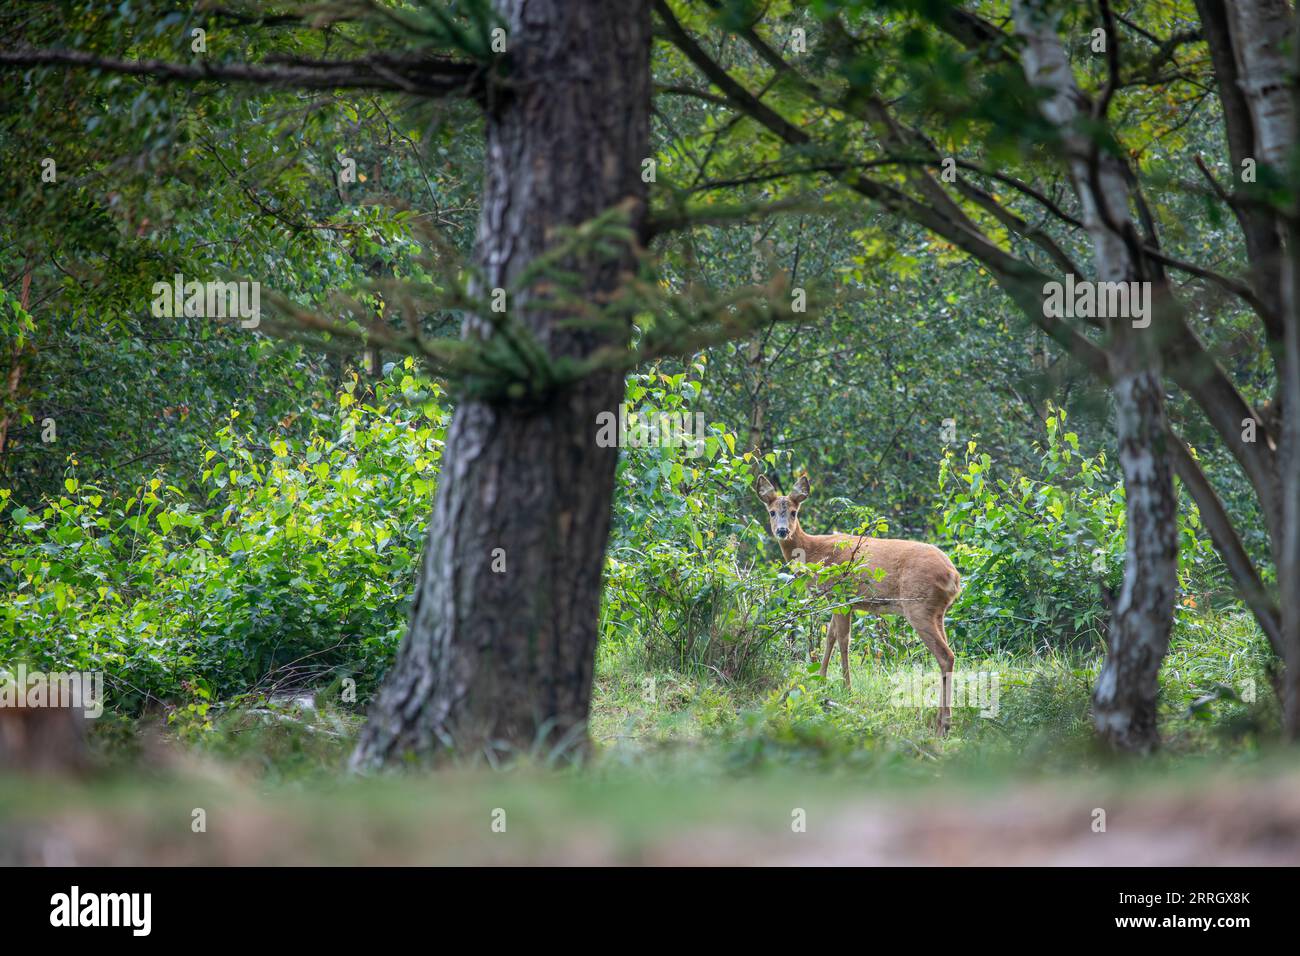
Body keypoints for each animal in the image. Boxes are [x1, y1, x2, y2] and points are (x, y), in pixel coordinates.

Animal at [756, 474, 961, 735]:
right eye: (772, 512)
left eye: (793, 512)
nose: (782, 530)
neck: (814, 552)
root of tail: (954, 576)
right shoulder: (835, 600)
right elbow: (830, 637)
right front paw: (821, 681)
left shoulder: (841, 595)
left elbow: (844, 640)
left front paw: (847, 688)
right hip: (938, 612)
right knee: (948, 654)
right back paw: (942, 722)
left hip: (918, 607)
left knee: (946, 656)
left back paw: (943, 725)